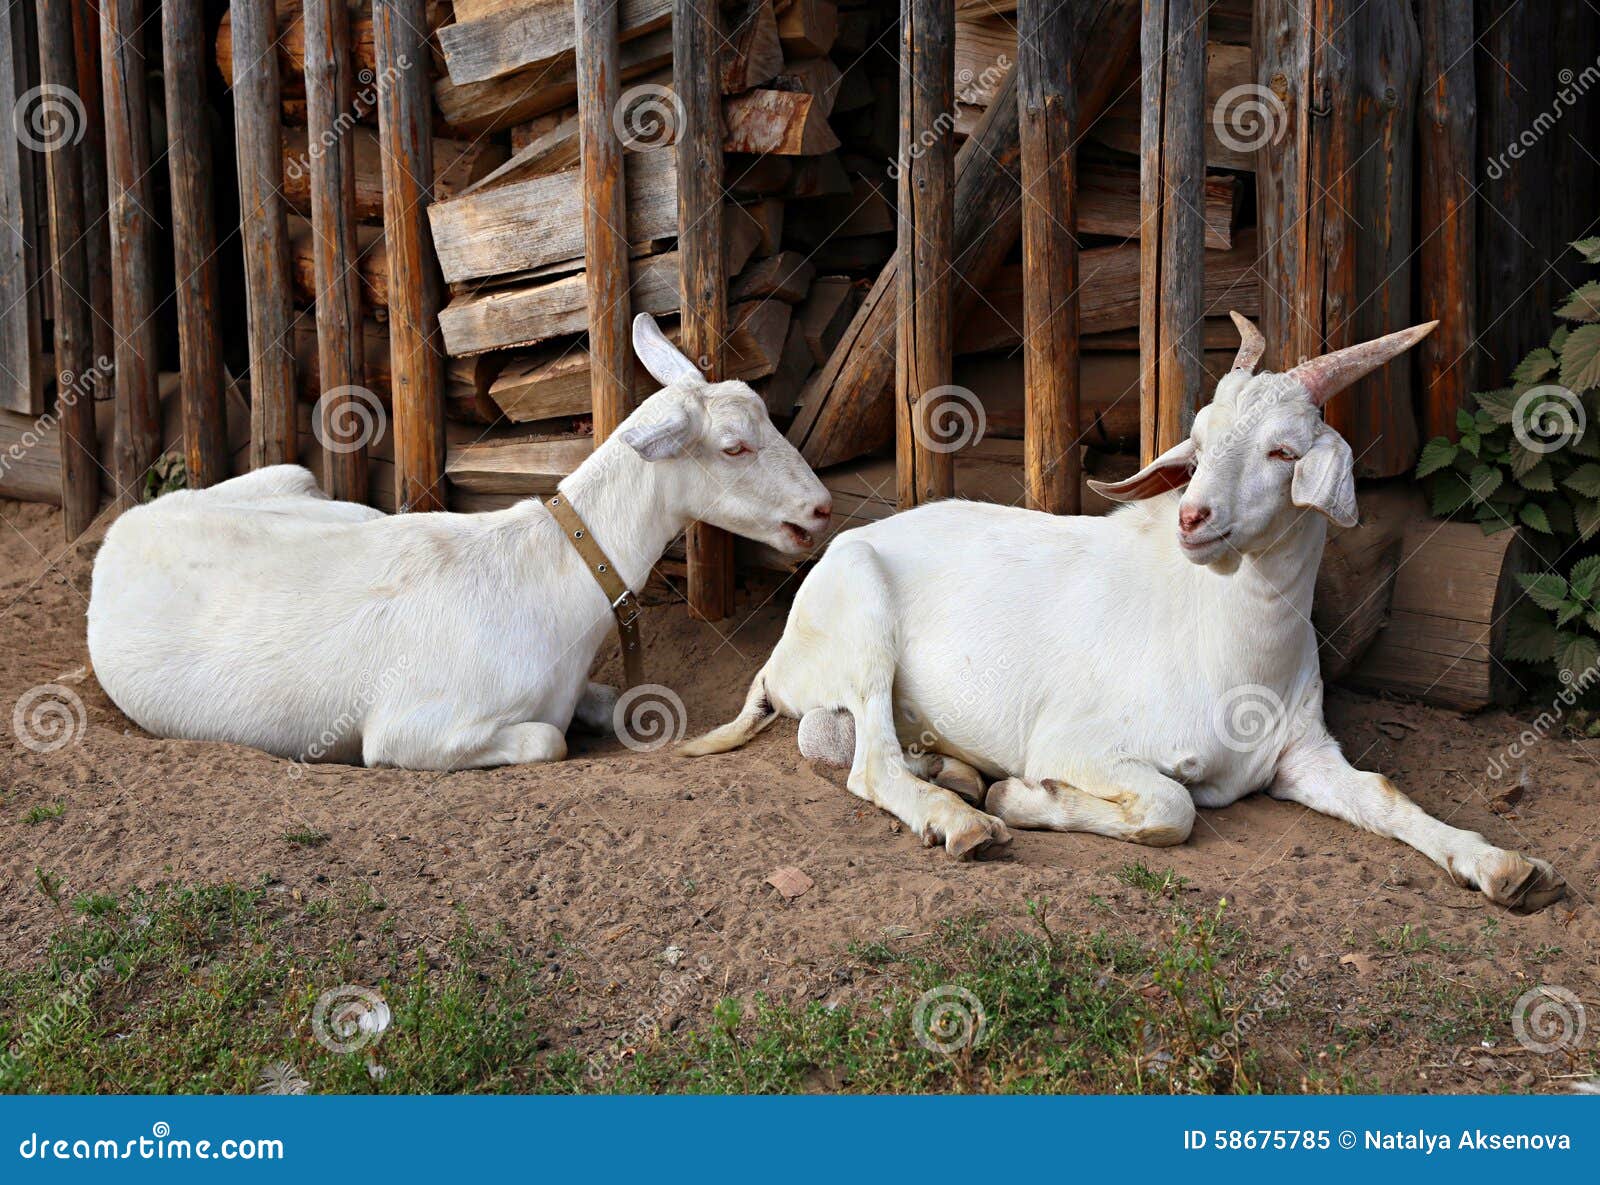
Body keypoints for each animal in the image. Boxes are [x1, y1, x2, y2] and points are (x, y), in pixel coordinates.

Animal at [86, 315, 832, 772]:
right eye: (734, 447)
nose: (820, 507)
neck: (554, 573)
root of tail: (125, 528)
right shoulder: (412, 727)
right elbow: (547, 739)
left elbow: (605, 703)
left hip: (307, 485)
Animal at [682, 315, 1566, 912]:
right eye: (1198, 444)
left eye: (1284, 451)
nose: (1194, 518)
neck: (1232, 649)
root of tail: (781, 653)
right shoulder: (1078, 740)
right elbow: (1174, 808)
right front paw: (1022, 799)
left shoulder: (1304, 755)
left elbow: (1385, 794)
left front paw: (1505, 867)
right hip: (861, 617)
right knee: (866, 761)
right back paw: (959, 815)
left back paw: (952, 771)